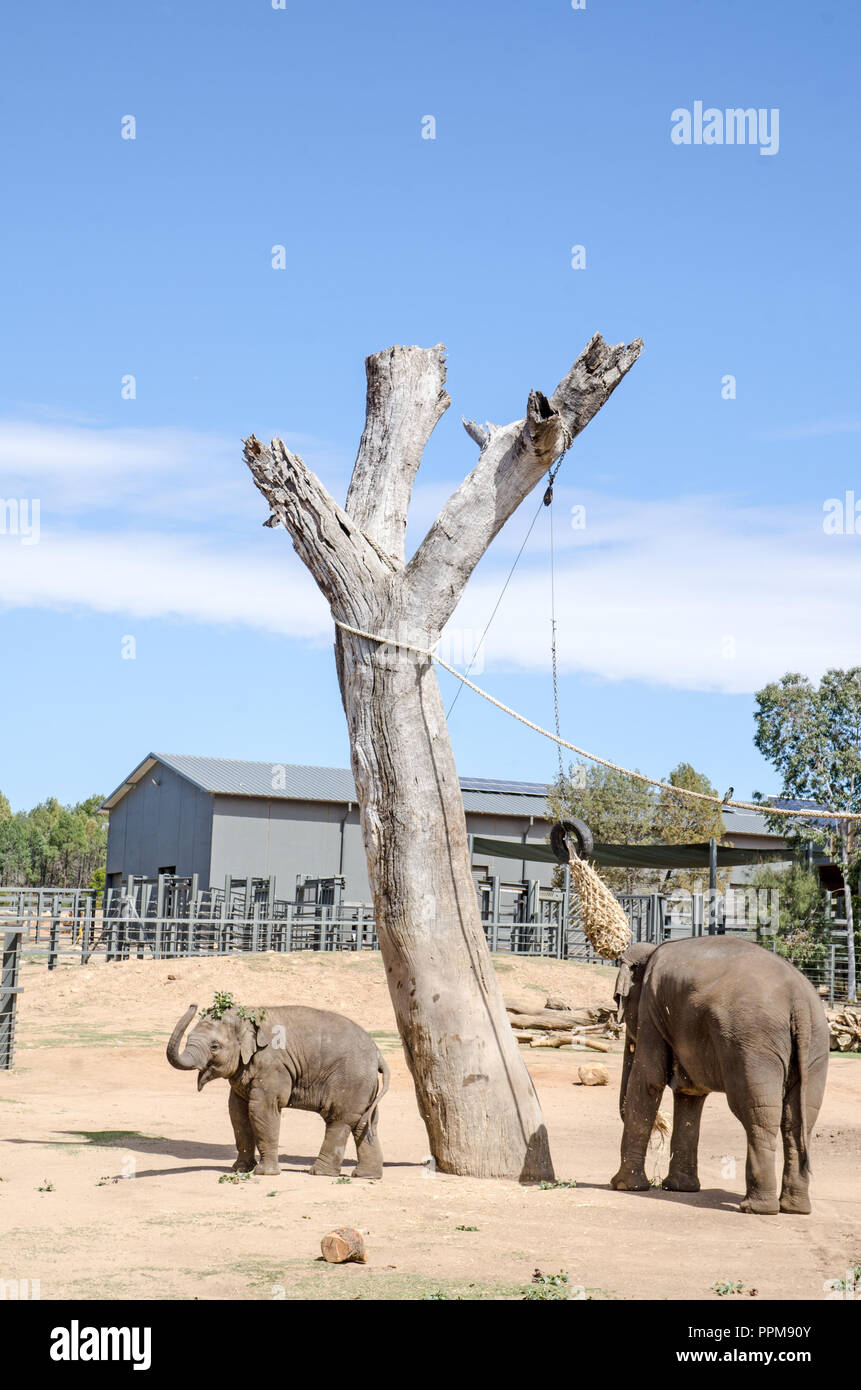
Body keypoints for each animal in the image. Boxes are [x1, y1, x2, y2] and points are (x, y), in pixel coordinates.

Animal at [167, 1002, 390, 1178]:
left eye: (214, 1046)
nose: (193, 1004)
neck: (247, 1015)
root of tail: (378, 1054)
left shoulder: (273, 1065)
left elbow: (262, 1109)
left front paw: (265, 1173)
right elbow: (237, 1112)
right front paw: (239, 1170)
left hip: (350, 1080)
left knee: (338, 1120)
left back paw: (319, 1172)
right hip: (365, 1087)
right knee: (365, 1124)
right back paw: (365, 1175)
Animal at [610, 936, 829, 1214]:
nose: (661, 1124)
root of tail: (798, 999)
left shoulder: (651, 1007)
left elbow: (649, 1079)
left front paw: (624, 1186)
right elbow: (690, 1092)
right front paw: (679, 1188)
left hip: (753, 1045)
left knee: (758, 1115)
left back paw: (756, 1208)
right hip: (815, 1046)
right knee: (800, 1121)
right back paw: (795, 1208)